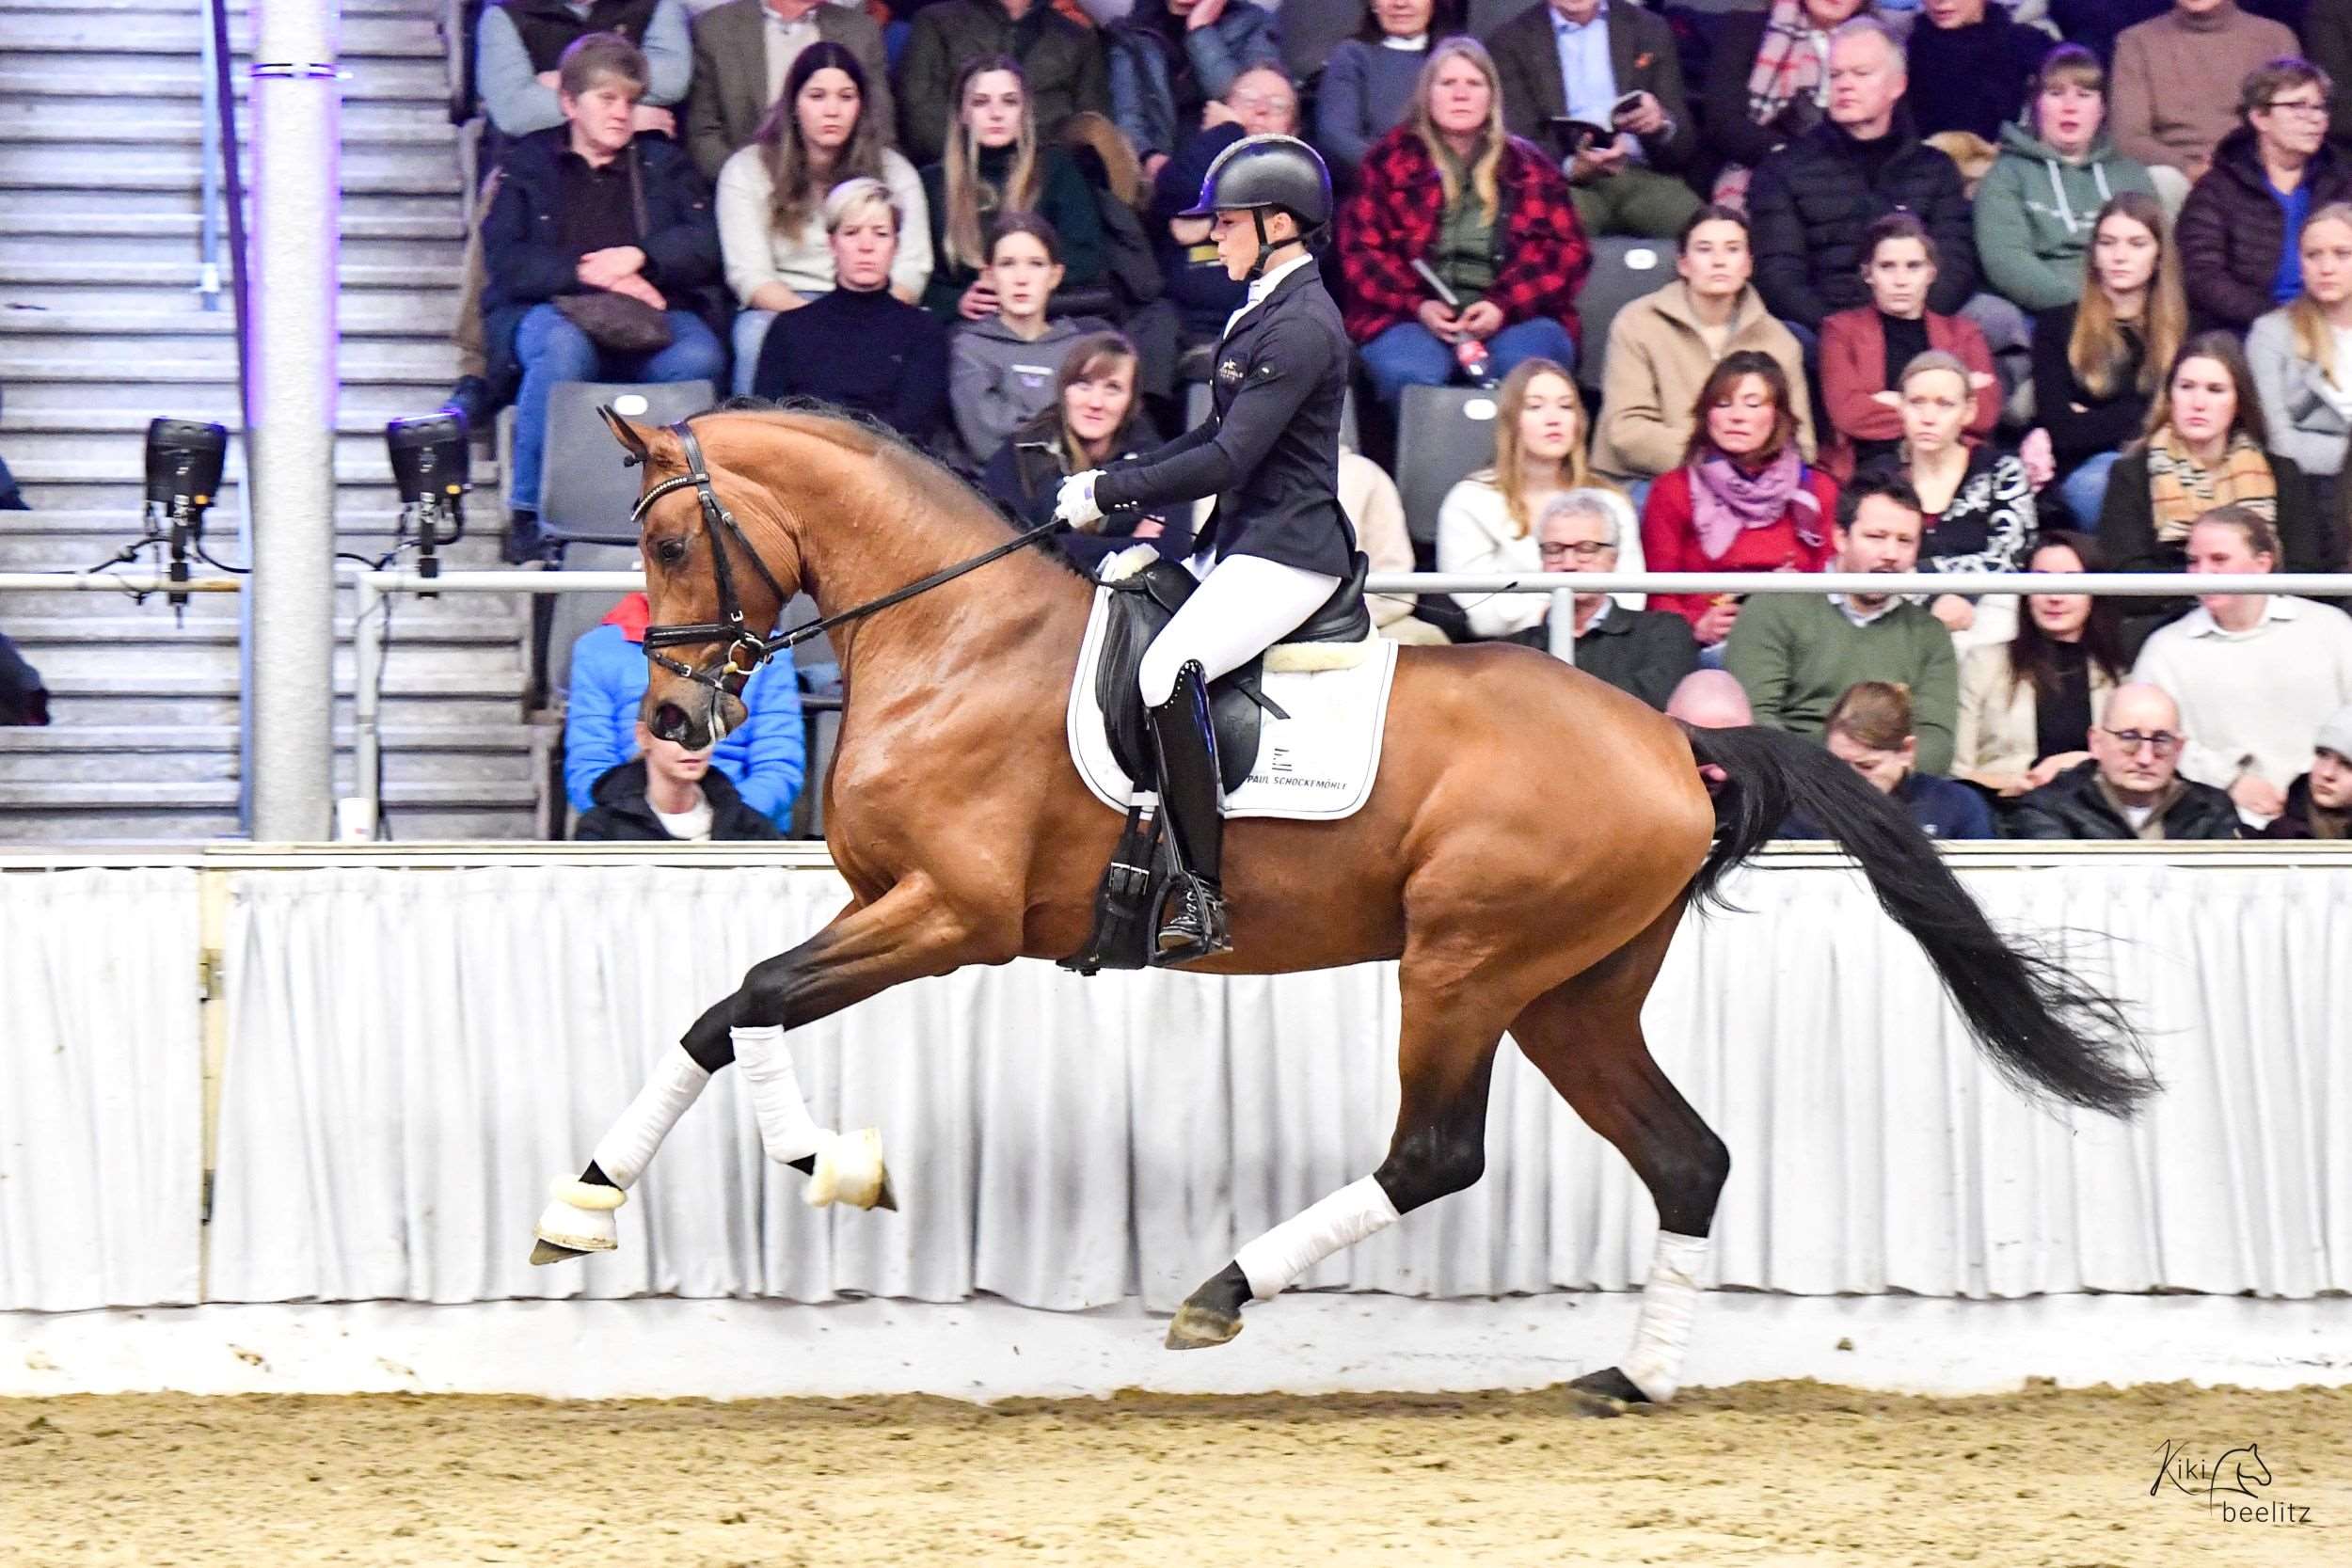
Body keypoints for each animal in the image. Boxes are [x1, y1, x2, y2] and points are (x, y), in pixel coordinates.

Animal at [530, 404, 2151, 1406]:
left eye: (669, 541)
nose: (670, 723)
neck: (952, 635)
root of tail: (1672, 743)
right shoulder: (884, 902)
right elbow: (720, 1012)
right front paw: (583, 1201)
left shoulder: (949, 916)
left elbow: (752, 999)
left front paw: (829, 1162)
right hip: (1571, 992)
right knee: (1686, 1157)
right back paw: (1630, 1375)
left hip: (1465, 967)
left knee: (1436, 1150)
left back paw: (1223, 1289)